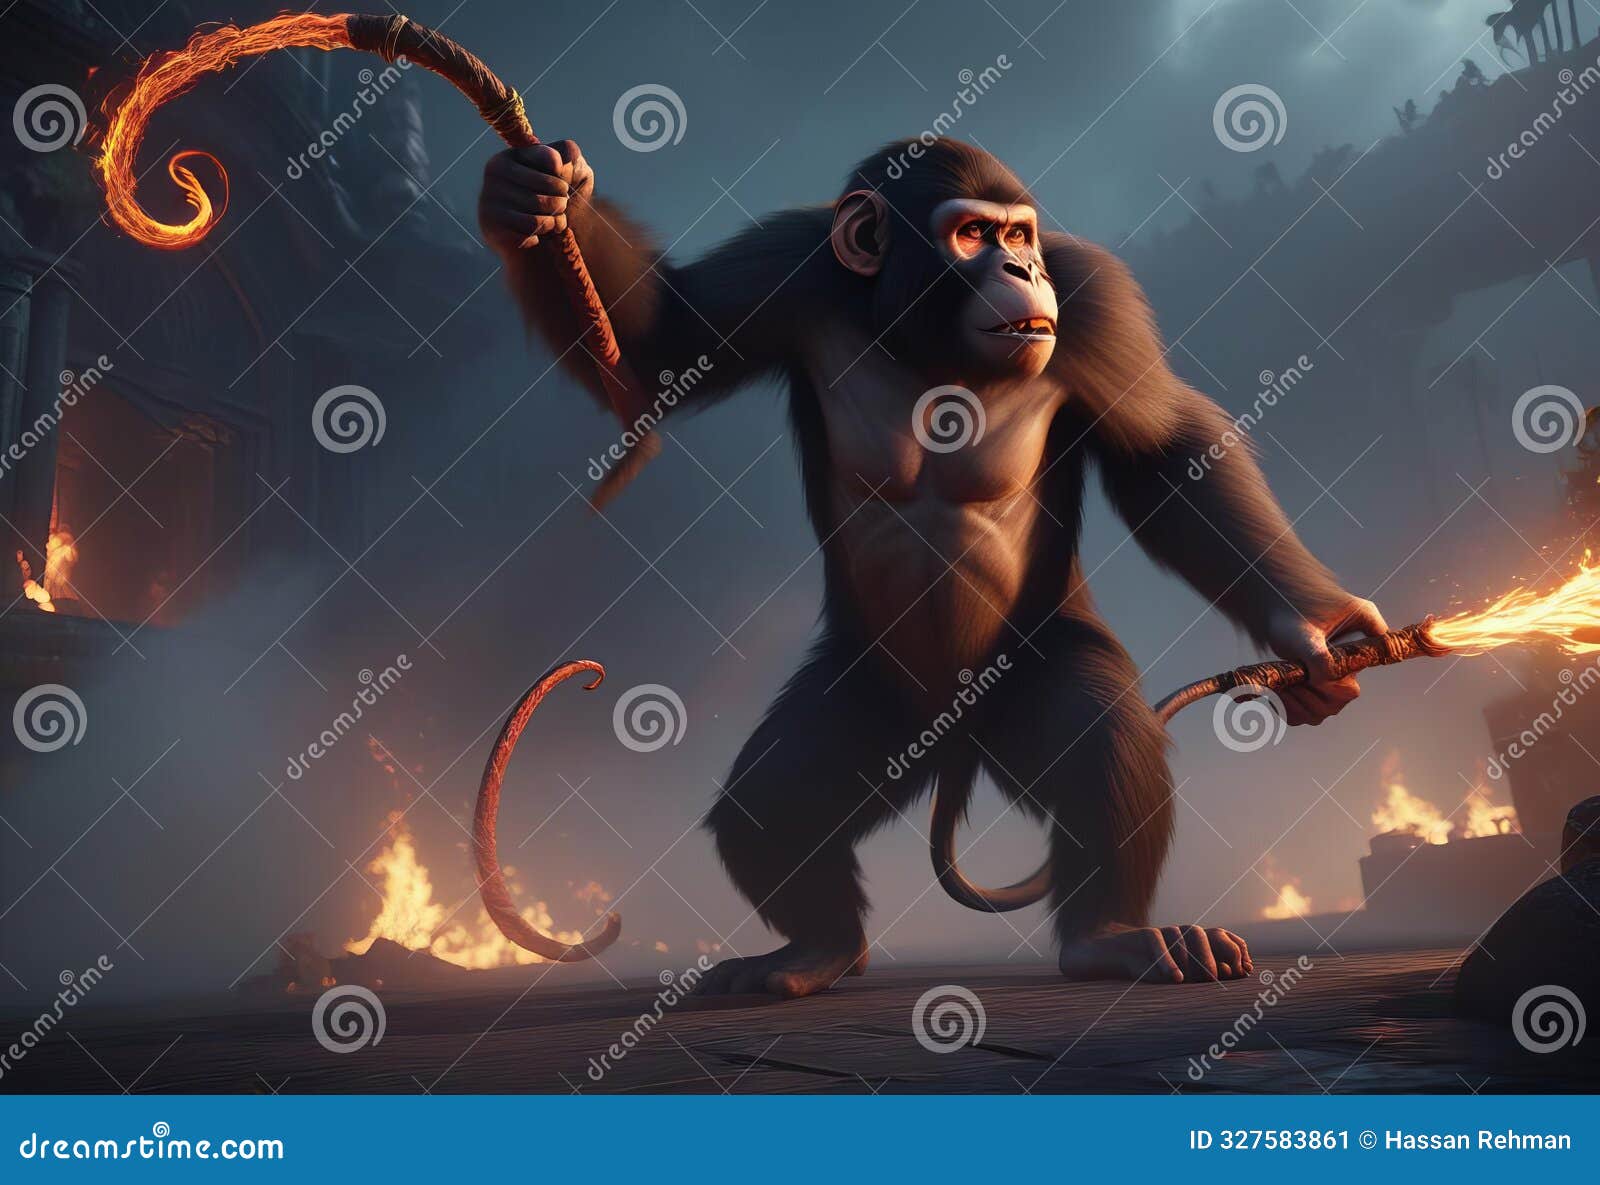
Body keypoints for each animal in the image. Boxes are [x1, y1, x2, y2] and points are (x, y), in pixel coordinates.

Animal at [477, 137, 1388, 998]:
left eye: (1020, 236)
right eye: (974, 234)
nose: (1022, 269)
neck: (917, 328)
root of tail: (955, 751)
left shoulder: (1095, 300)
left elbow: (1163, 451)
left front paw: (1311, 633)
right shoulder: (786, 268)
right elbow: (662, 346)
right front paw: (535, 194)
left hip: (1028, 674)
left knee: (1106, 746)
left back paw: (1115, 934)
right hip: (874, 697)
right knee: (771, 803)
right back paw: (817, 947)